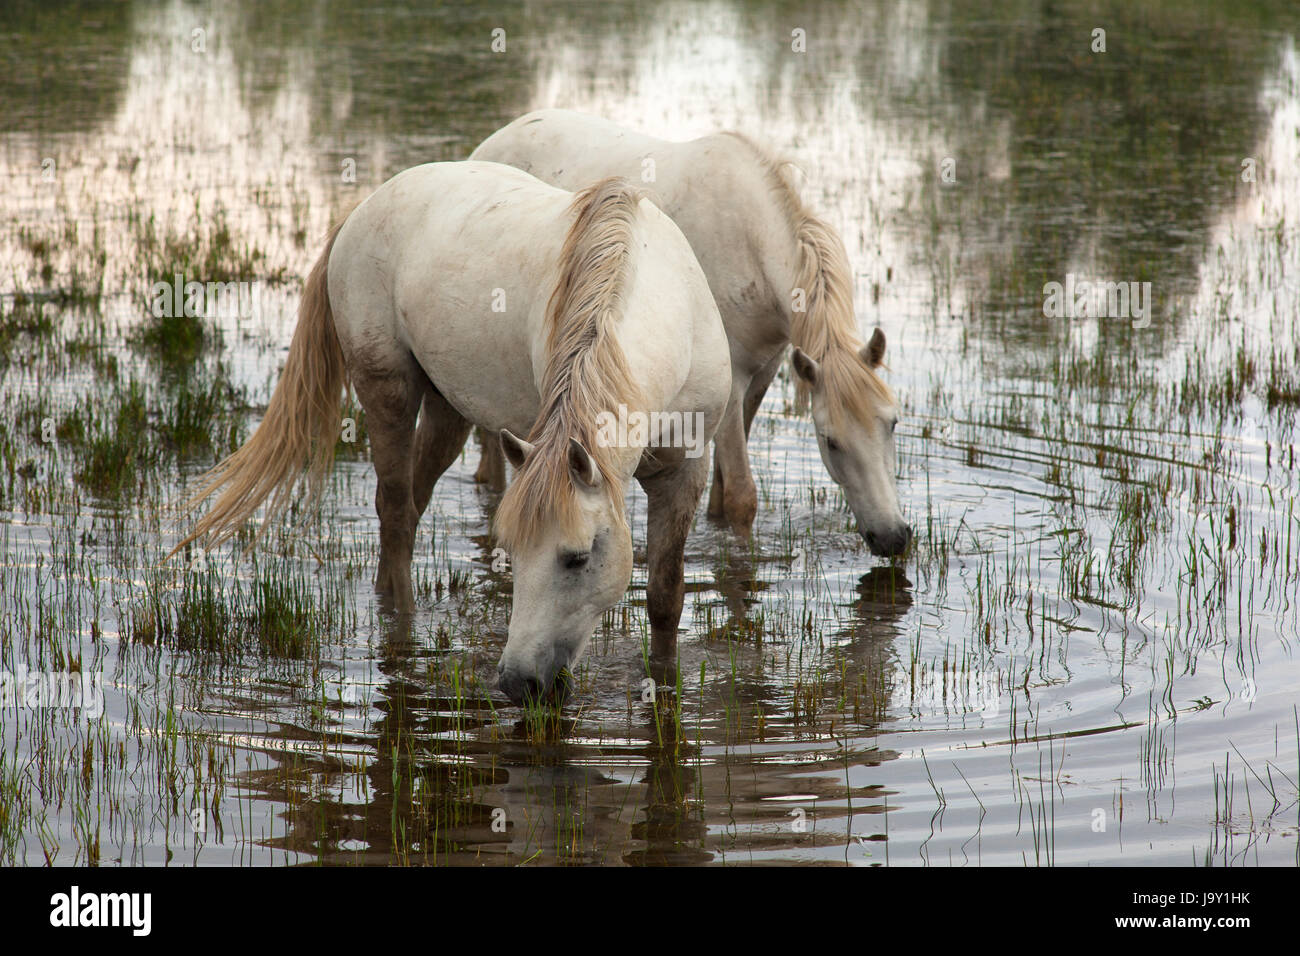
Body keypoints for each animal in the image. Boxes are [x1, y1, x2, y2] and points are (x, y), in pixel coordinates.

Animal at [170, 161, 732, 703]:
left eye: (577, 558)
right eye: (513, 551)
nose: (519, 684)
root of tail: (365, 207)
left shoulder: (686, 470)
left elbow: (664, 597)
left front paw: (664, 680)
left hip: (447, 412)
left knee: (411, 502)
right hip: (388, 390)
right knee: (397, 511)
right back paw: (401, 627)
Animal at [469, 109, 911, 557]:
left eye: (892, 423)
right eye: (830, 440)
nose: (892, 537)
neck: (750, 242)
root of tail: (495, 142)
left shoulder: (762, 375)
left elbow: (721, 486)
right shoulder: (734, 381)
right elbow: (741, 496)